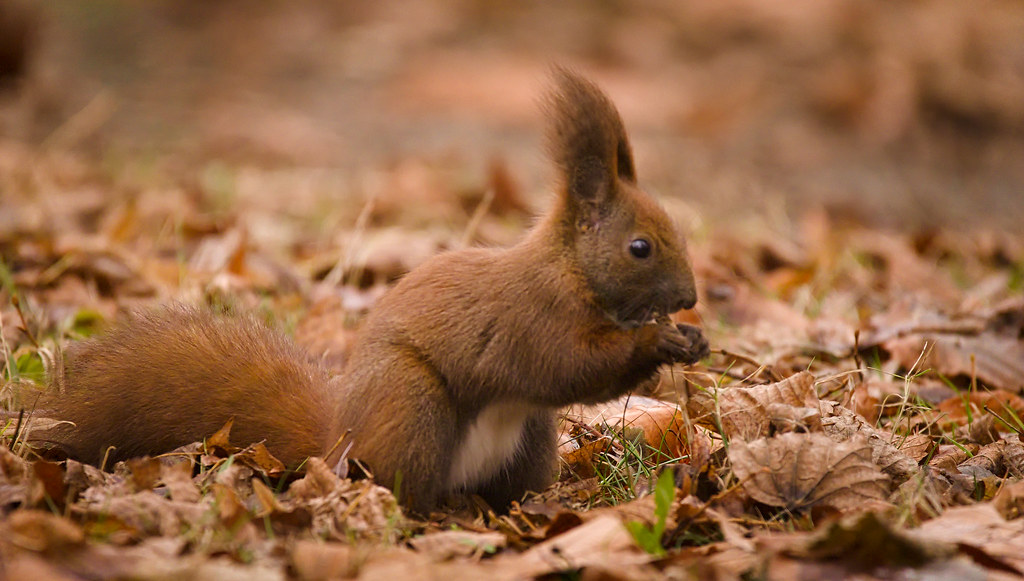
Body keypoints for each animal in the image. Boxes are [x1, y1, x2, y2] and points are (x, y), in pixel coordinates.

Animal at [35, 68, 709, 514]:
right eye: (641, 247)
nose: (688, 298)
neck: (570, 270)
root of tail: (337, 441)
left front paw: (690, 341)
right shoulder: (532, 319)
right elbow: (571, 367)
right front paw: (658, 343)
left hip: (531, 440)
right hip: (411, 406)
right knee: (401, 485)